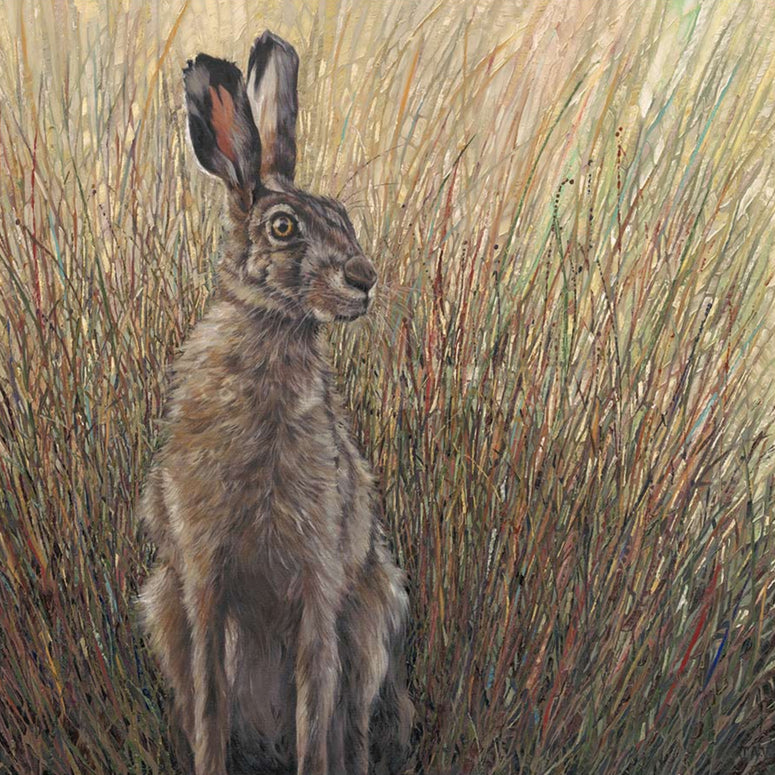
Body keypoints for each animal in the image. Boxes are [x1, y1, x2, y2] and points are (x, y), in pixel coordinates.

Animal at [138, 30, 413, 775]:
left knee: (350, 723)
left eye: (343, 218)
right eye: (284, 227)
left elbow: (314, 712)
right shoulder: (201, 580)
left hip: (370, 619)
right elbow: (209, 704)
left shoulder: (319, 582)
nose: (364, 278)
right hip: (163, 610)